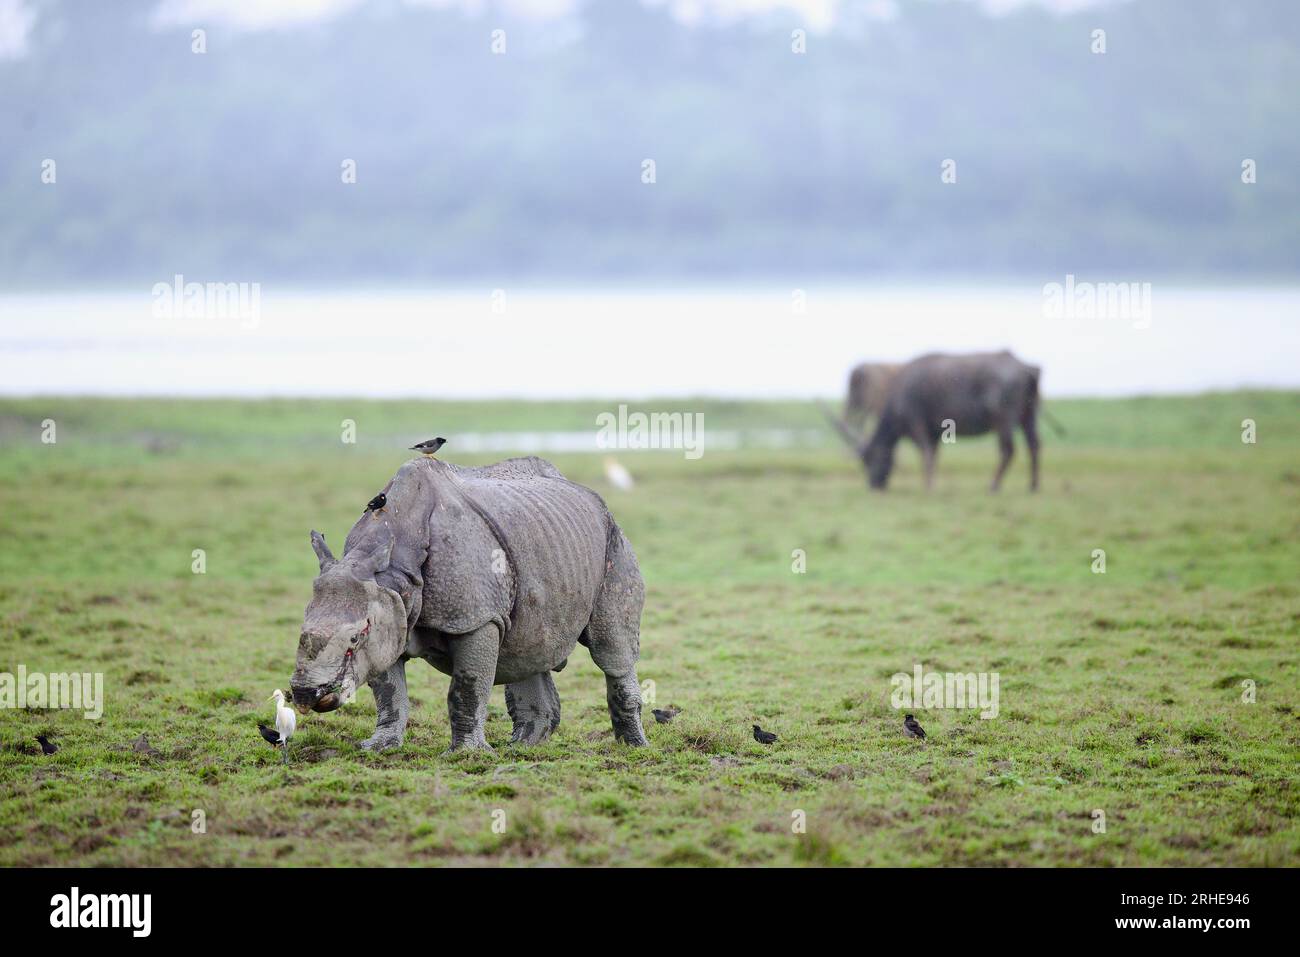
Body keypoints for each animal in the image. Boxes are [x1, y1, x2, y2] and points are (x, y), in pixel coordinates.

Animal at [290, 456, 648, 751]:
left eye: (354, 638)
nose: (305, 694)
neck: (393, 566)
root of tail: (589, 495)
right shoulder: (388, 612)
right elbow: (388, 692)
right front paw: (378, 747)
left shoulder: (476, 617)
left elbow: (467, 686)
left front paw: (465, 754)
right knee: (524, 645)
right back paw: (521, 748)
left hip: (613, 541)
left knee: (611, 650)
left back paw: (633, 747)